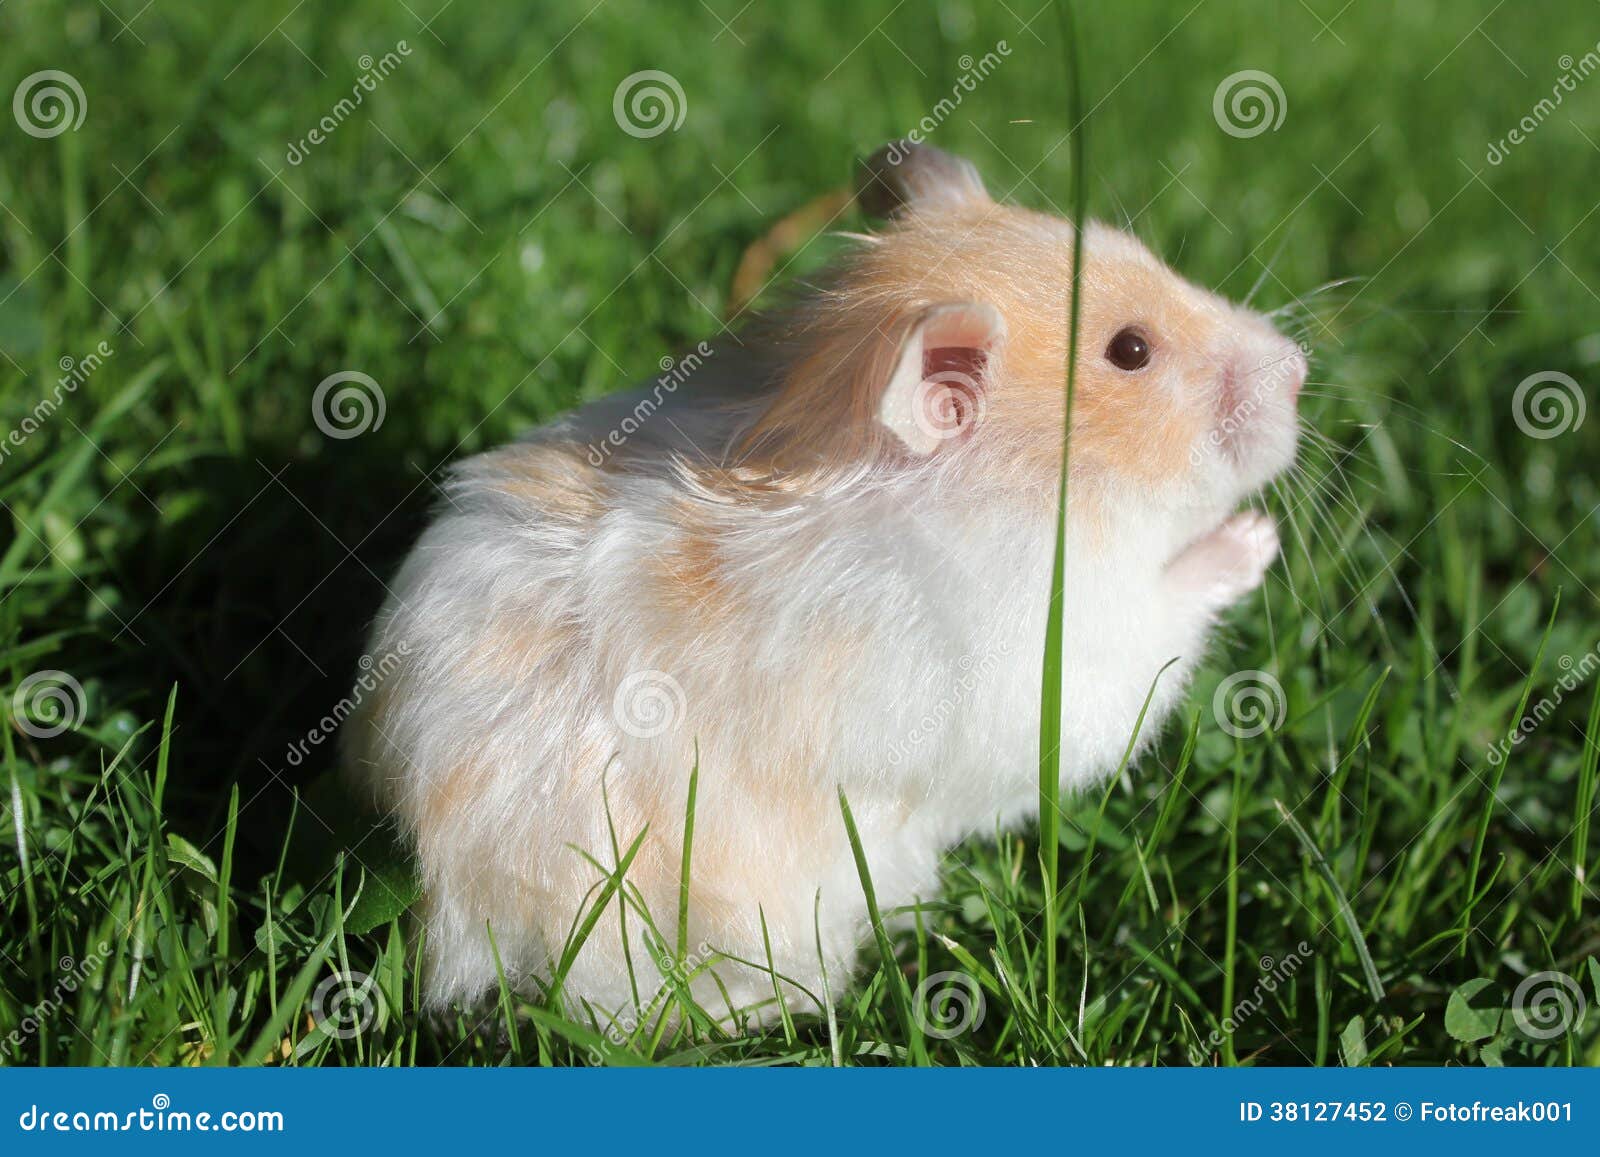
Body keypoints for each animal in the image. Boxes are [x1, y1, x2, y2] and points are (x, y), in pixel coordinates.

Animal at [344, 141, 1306, 1025]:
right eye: (1130, 351)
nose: (1299, 365)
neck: (1026, 493)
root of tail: (459, 918)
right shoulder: (1068, 666)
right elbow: (1166, 616)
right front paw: (1256, 538)